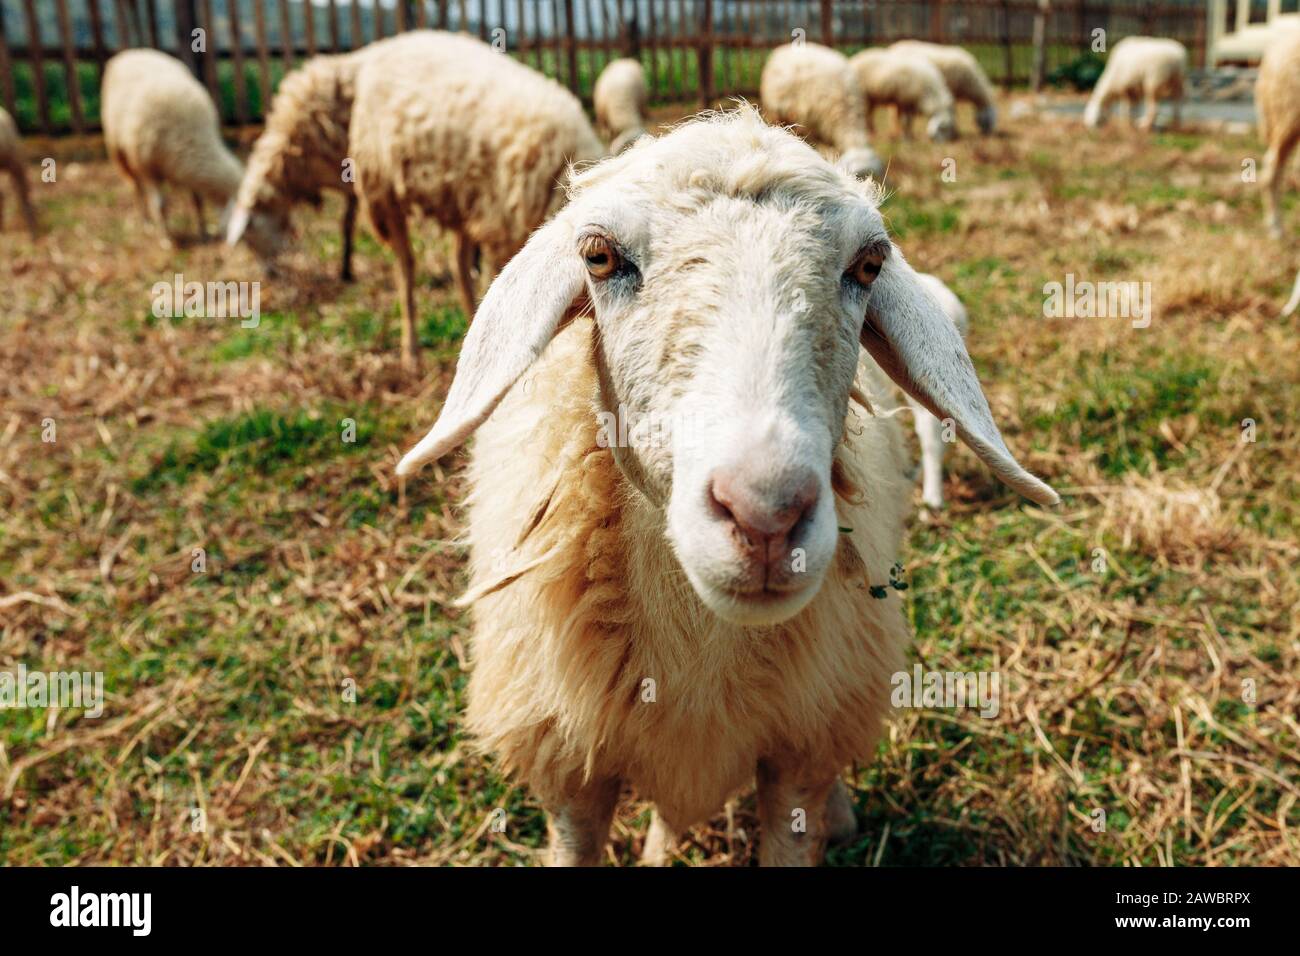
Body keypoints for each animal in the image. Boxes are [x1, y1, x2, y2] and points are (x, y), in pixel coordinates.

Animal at [101, 49, 273, 247]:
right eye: (254, 226)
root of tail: (132, 52)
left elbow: (197, 200)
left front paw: (203, 232)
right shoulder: (148, 168)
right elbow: (159, 205)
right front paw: (166, 238)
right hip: (118, 149)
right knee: (135, 187)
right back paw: (146, 222)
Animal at [348, 30, 604, 369]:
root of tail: (393, 43)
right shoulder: (502, 235)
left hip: (463, 200)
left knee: (458, 264)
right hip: (384, 191)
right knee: (406, 269)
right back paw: (412, 352)